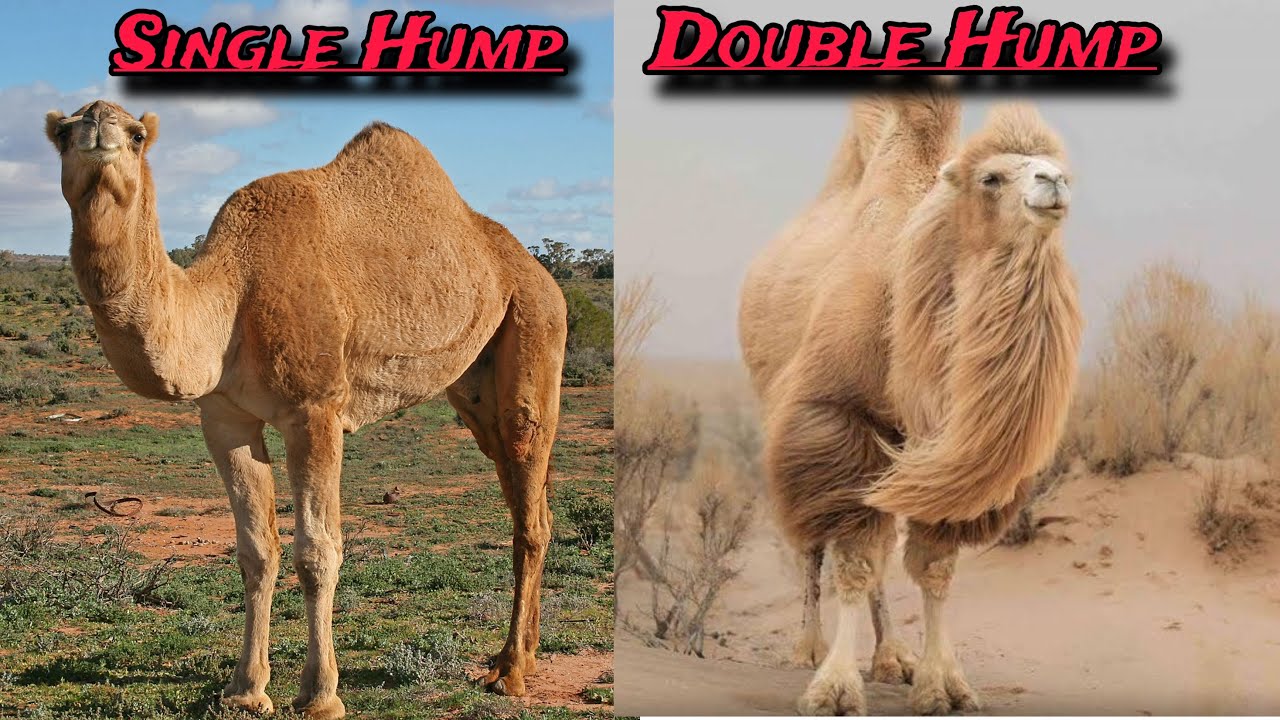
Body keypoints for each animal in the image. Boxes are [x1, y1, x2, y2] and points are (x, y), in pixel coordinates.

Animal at [45, 100, 567, 719]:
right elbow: (256, 550)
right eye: (62, 133)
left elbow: (317, 552)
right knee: (524, 495)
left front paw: (320, 694)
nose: (98, 126)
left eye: (137, 135)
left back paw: (510, 673)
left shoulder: (315, 411)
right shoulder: (224, 418)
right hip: (474, 383)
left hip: (535, 323)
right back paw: (522, 655)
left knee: (528, 492)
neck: (231, 297)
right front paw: (246, 690)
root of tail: (536, 269)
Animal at [738, 94, 1082, 715]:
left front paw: (942, 683)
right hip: (785, 413)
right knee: (814, 548)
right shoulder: (833, 418)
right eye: (991, 177)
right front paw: (833, 688)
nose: (1054, 183)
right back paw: (808, 648)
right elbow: (851, 560)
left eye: (1057, 167)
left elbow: (934, 568)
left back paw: (891, 656)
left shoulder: (938, 450)